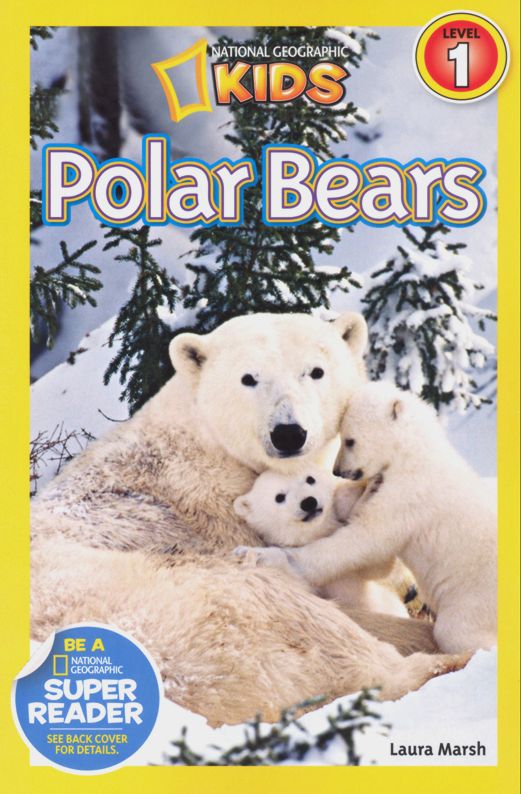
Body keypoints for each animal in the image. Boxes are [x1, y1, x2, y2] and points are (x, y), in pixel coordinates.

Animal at [233, 466, 409, 617]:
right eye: (280, 497)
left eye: (310, 479)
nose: (308, 502)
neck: (316, 533)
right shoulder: (318, 586)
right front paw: (251, 554)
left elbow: (378, 568)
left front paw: (371, 488)